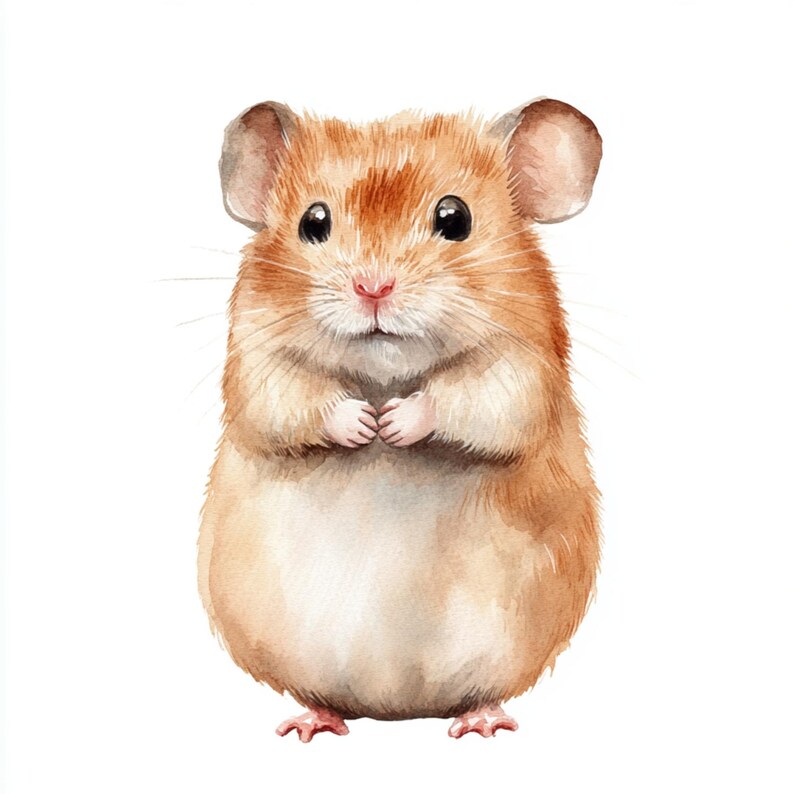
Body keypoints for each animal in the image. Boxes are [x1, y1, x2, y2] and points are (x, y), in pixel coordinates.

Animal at [198, 98, 602, 742]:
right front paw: (364, 425)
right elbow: (291, 400)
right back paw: (311, 724)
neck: (385, 374)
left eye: (455, 218)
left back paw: (481, 724)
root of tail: (396, 709)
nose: (373, 287)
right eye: (313, 221)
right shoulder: (256, 362)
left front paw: (393, 425)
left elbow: (470, 399)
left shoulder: (523, 370)